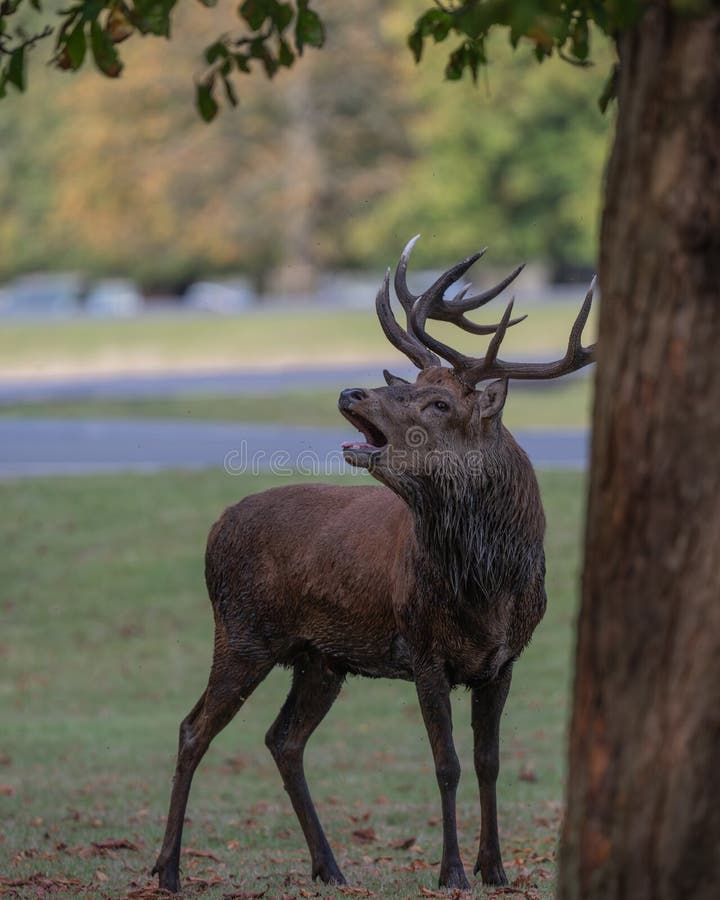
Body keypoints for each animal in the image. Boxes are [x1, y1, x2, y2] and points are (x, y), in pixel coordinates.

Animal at [152, 236, 596, 893]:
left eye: (438, 401)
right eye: (408, 379)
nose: (351, 392)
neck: (489, 589)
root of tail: (214, 529)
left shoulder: (504, 660)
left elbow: (490, 762)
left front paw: (495, 868)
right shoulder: (424, 650)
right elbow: (446, 764)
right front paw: (452, 871)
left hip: (319, 659)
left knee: (282, 739)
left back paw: (329, 866)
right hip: (242, 631)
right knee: (193, 728)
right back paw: (168, 869)